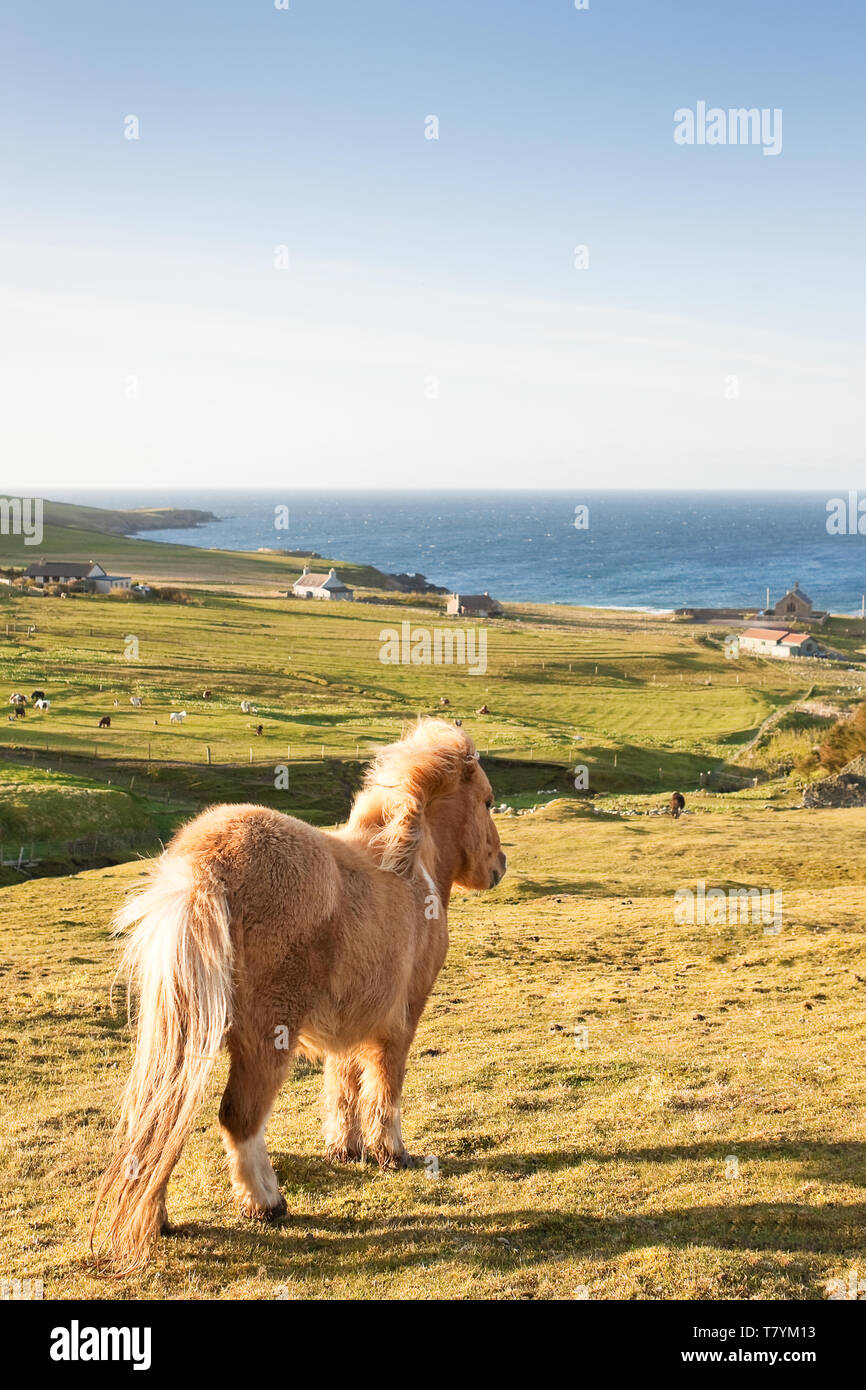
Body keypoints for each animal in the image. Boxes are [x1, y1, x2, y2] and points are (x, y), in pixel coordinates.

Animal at [90, 718, 506, 1269]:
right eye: (487, 800)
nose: (500, 864)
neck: (410, 870)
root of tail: (205, 864)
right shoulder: (400, 1021)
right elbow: (386, 1087)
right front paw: (391, 1154)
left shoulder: (351, 1022)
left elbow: (343, 1083)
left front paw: (346, 1149)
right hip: (267, 1039)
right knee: (239, 1117)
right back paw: (266, 1203)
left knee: (157, 1114)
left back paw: (157, 1217)